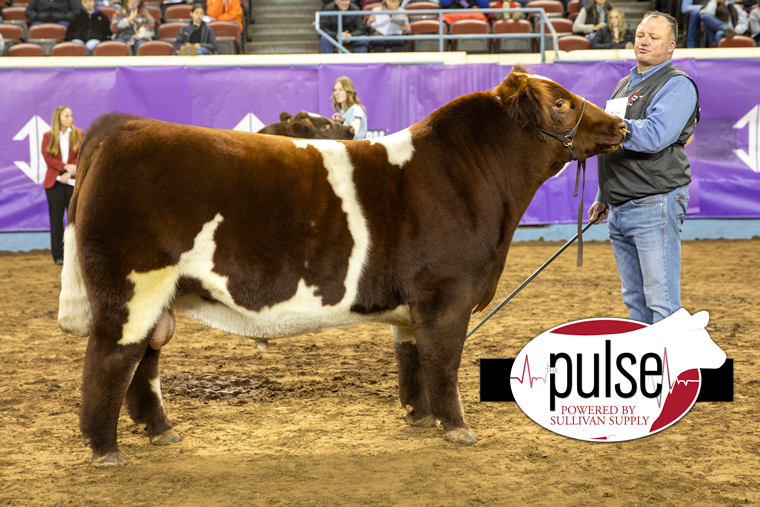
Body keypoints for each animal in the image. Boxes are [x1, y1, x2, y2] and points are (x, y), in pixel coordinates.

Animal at [59, 65, 628, 467]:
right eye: (561, 103)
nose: (621, 123)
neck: (471, 177)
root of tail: (121, 127)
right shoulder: (448, 293)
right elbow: (444, 361)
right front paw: (458, 428)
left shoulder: (413, 307)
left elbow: (412, 360)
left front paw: (418, 417)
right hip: (132, 287)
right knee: (109, 359)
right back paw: (106, 450)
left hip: (161, 294)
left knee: (144, 360)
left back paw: (160, 431)